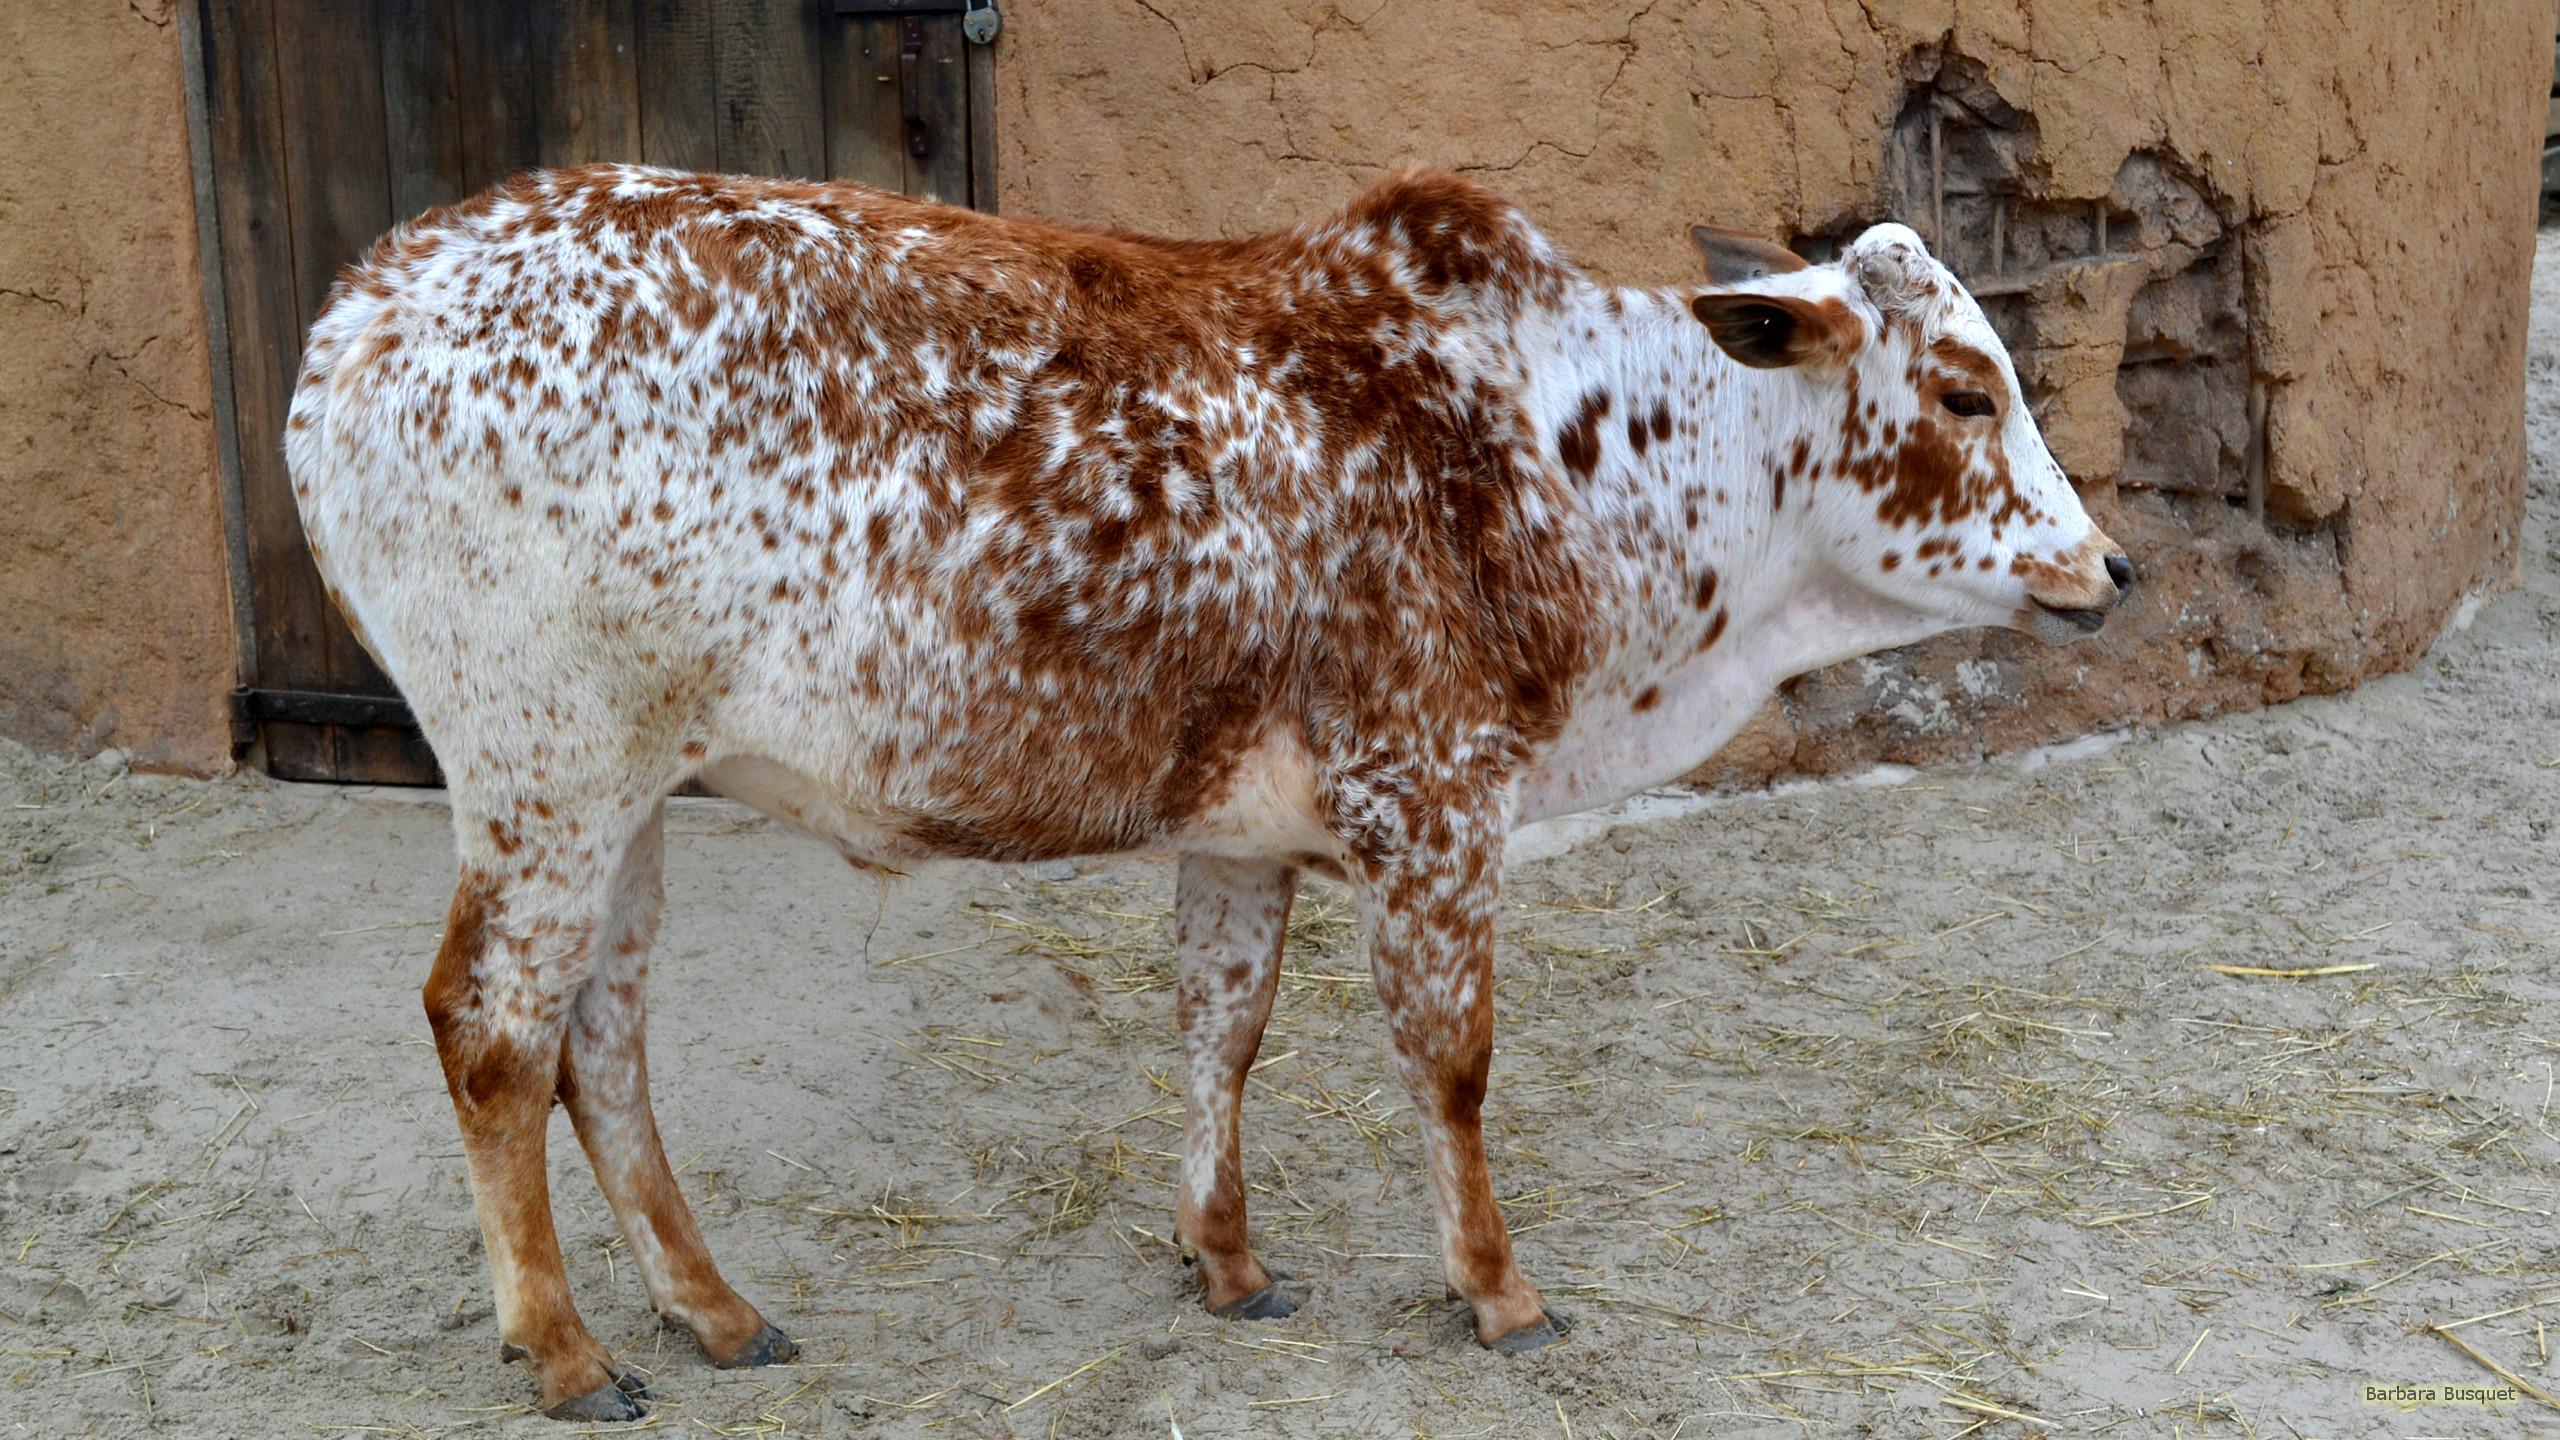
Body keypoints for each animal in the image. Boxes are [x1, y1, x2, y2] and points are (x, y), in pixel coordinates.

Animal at [284, 165, 2129, 1420]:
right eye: (1964, 388)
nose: (2107, 566)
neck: (1561, 453)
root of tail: (374, 296)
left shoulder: (1251, 833)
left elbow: (1220, 1025)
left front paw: (1223, 1257)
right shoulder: (1431, 800)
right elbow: (1451, 1063)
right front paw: (1497, 1289)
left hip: (628, 796)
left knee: (602, 1040)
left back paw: (711, 1306)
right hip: (544, 771)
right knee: (492, 1033)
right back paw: (565, 1345)